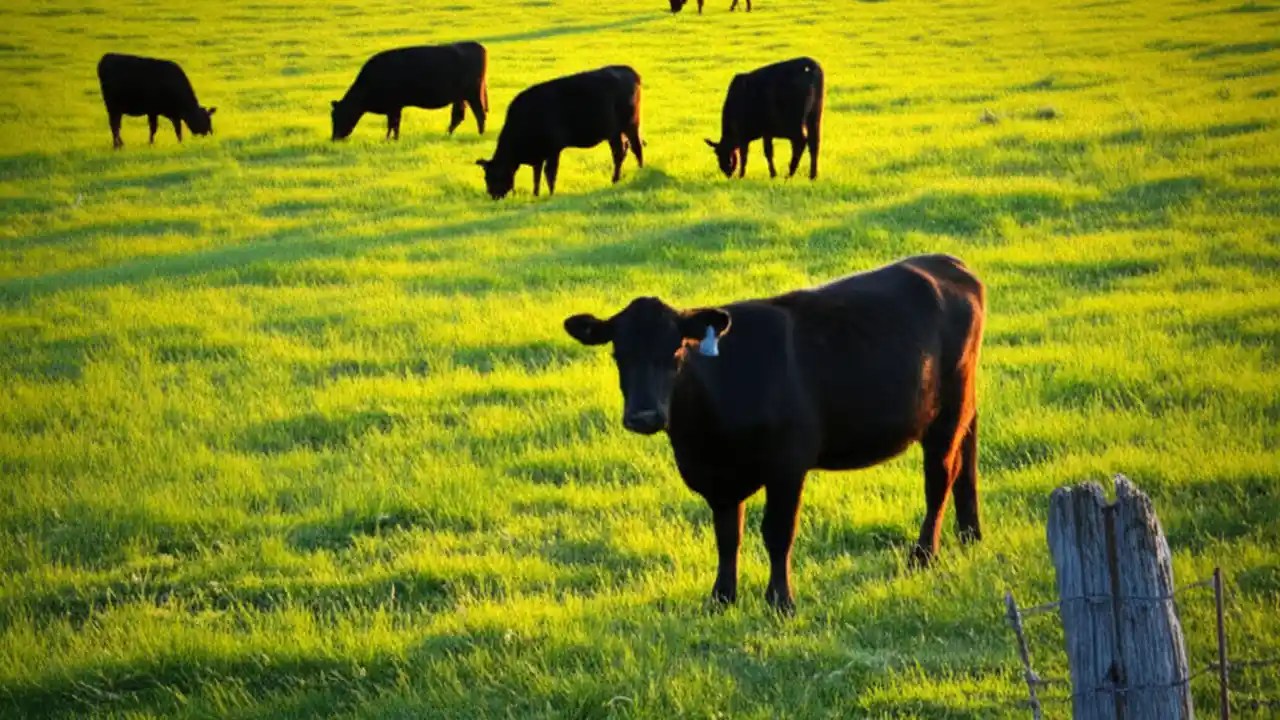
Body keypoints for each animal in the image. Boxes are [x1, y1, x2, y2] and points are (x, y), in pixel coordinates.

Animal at [331, 42, 488, 141]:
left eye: (339, 115)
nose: (334, 138)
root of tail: (476, 45)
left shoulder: (394, 106)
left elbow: (394, 124)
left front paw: (390, 140)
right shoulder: (393, 107)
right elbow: (393, 124)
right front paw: (390, 139)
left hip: (473, 94)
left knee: (479, 114)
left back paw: (480, 134)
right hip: (460, 97)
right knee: (458, 116)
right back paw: (447, 134)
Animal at [476, 65, 642, 199]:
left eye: (495, 176)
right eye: (486, 177)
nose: (493, 195)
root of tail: (629, 70)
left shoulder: (553, 149)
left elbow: (550, 173)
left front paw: (551, 194)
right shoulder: (538, 155)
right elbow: (536, 175)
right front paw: (535, 194)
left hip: (631, 125)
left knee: (636, 147)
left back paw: (640, 171)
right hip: (615, 133)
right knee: (620, 152)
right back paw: (616, 179)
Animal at [563, 254, 985, 613]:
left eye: (677, 350)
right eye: (618, 354)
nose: (644, 415)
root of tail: (948, 263)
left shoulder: (787, 465)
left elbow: (777, 532)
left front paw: (780, 600)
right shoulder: (719, 477)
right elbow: (727, 535)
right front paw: (721, 598)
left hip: (947, 412)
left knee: (939, 478)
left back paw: (923, 555)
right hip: (965, 406)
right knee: (967, 460)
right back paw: (970, 534)